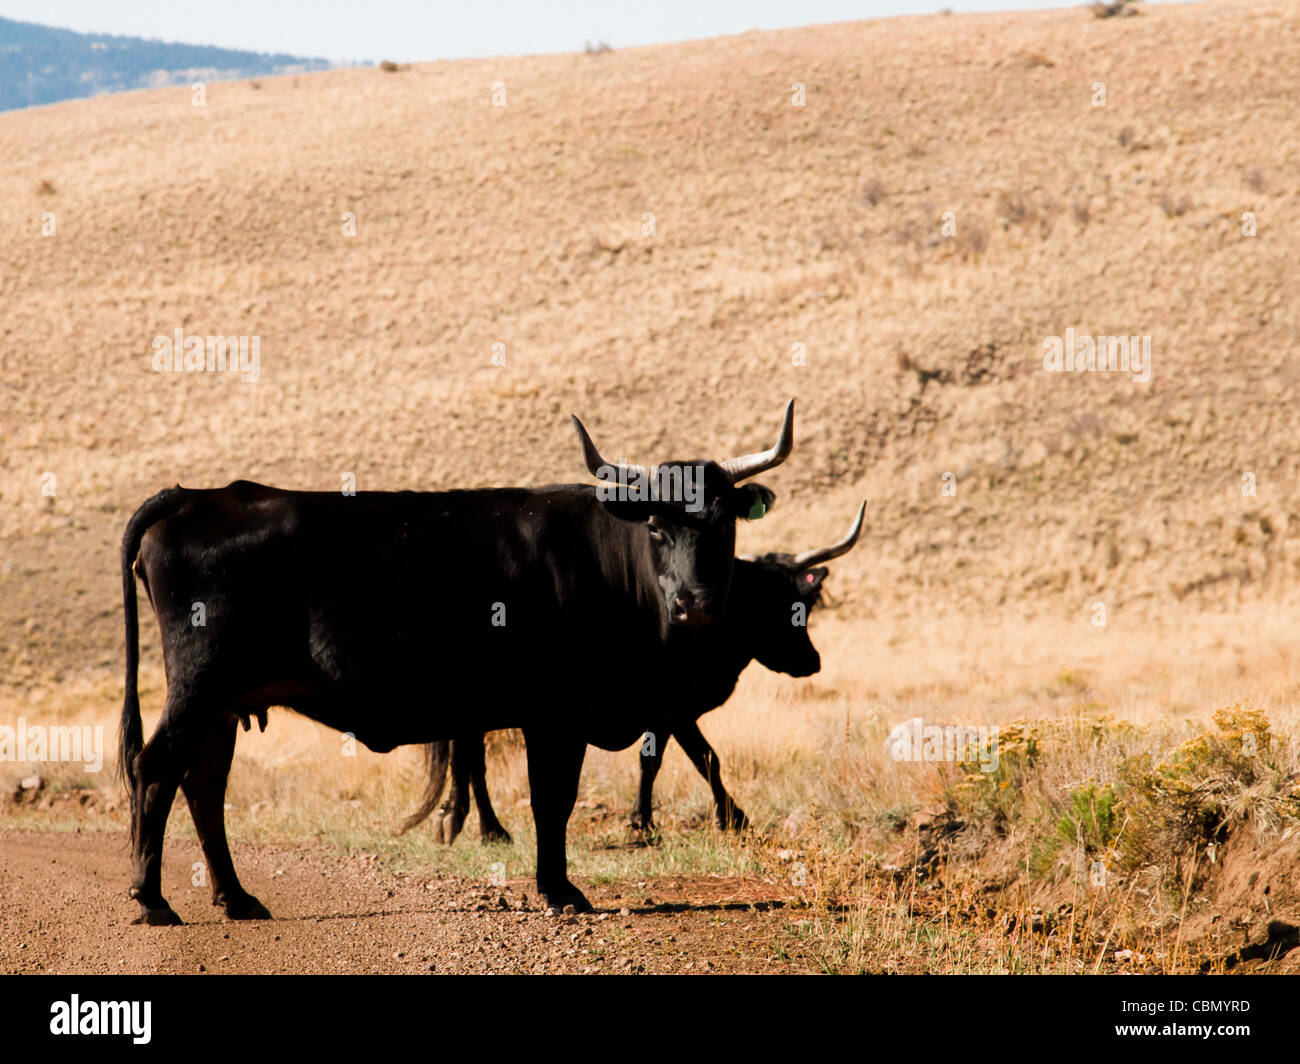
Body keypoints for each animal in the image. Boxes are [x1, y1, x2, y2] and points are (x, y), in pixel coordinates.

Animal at [118, 402, 795, 923]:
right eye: (656, 526)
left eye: (725, 523)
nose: (695, 602)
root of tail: (198, 497)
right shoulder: (556, 715)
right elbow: (553, 799)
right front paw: (560, 890)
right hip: (199, 689)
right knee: (157, 769)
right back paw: (153, 901)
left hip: (223, 704)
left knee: (203, 784)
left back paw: (235, 898)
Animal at [400, 501, 865, 844]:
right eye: (779, 601)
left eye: (805, 600)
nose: (812, 661)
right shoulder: (675, 711)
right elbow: (703, 758)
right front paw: (725, 819)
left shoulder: (665, 715)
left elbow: (659, 759)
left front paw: (656, 819)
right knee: (469, 758)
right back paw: (484, 827)